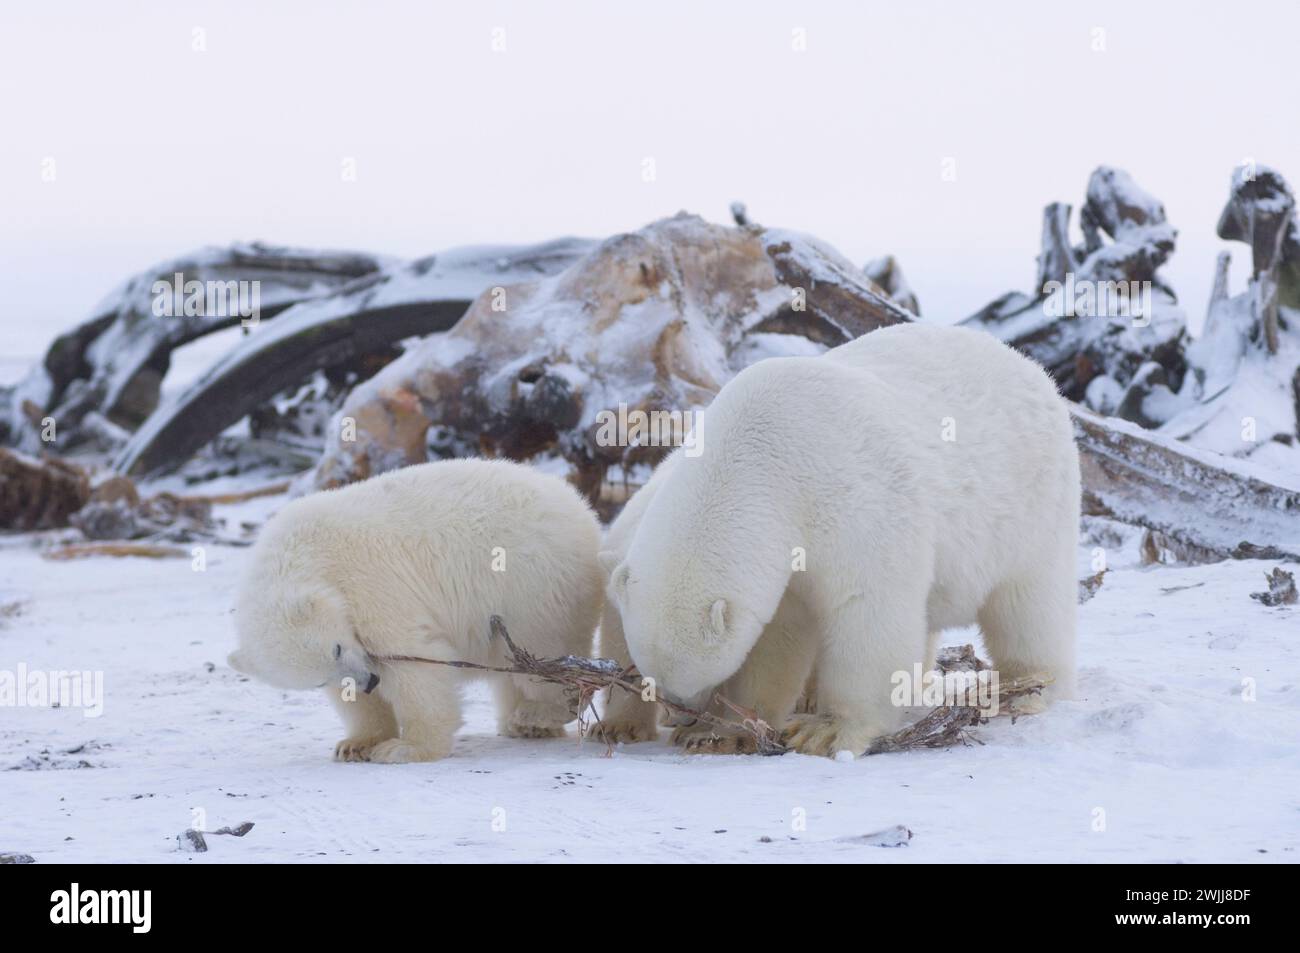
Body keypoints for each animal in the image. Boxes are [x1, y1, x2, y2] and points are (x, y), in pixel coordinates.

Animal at [228, 458, 604, 763]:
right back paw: (526, 724)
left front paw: (405, 748)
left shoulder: (367, 578)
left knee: (542, 650)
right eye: (319, 677)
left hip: (533, 584)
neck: (304, 551)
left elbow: (412, 657)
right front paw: (356, 744)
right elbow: (352, 694)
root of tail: (580, 506)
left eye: (335, 648)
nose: (369, 682)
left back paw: (537, 714)